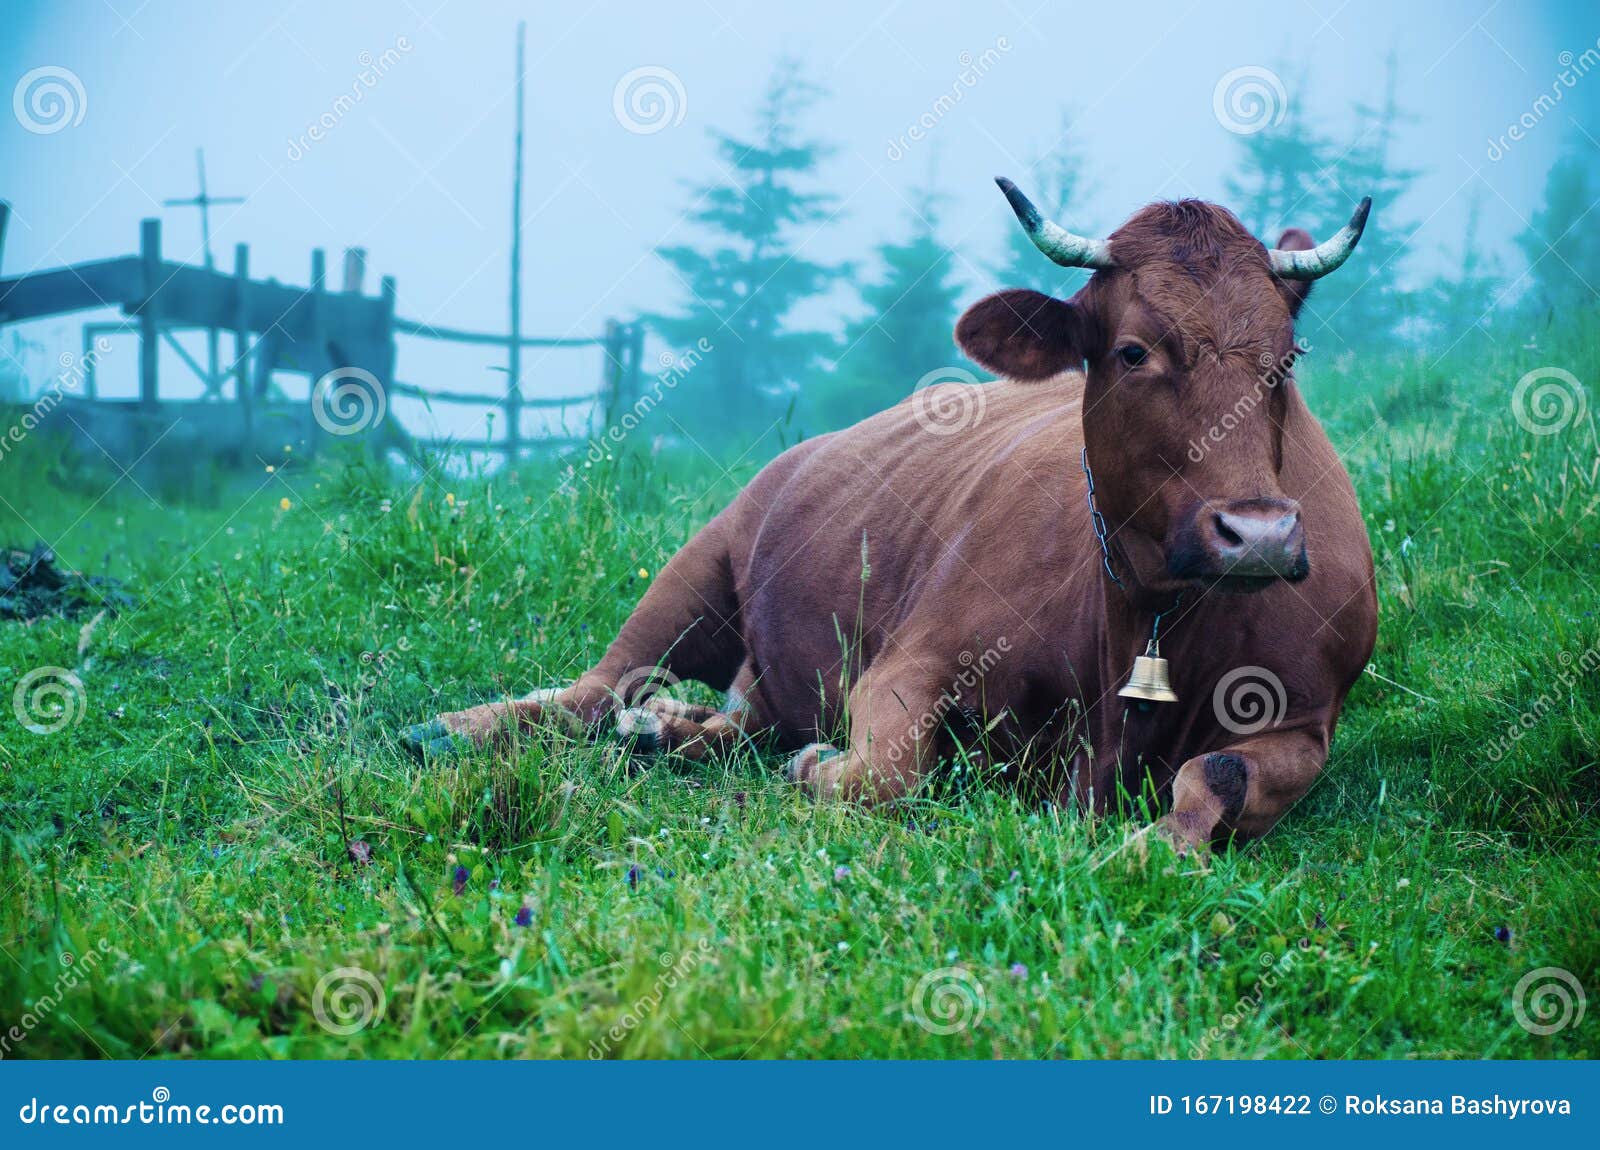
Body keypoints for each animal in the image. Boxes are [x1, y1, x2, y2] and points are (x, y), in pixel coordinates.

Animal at [402, 178, 1379, 851]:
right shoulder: (918, 658)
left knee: (712, 722)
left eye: (1287, 358)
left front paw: (1161, 843)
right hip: (700, 564)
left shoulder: (1305, 719)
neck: (1152, 629)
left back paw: (663, 728)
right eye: (1135, 351)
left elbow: (1217, 774)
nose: (1258, 536)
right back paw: (451, 730)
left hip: (761, 675)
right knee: (588, 694)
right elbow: (881, 777)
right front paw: (817, 770)